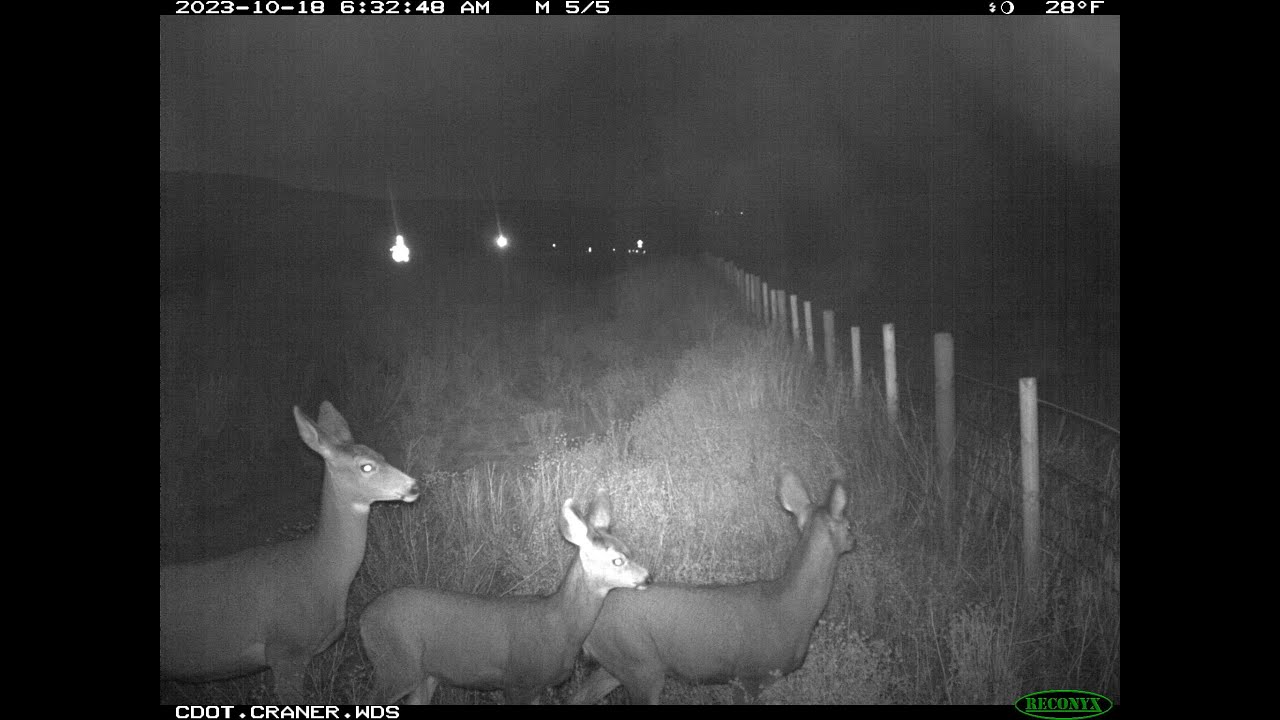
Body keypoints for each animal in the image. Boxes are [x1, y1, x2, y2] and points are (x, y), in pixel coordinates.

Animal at [358, 491, 650, 704]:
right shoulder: (519, 681)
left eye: (629, 549)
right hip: (394, 665)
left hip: (423, 674)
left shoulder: (537, 686)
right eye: (617, 560)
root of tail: (363, 620)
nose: (648, 577)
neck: (559, 627)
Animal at [570, 469, 854, 704]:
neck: (793, 609)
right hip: (639, 664)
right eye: (849, 525)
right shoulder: (748, 675)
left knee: (578, 697)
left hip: (616, 665)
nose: (855, 539)